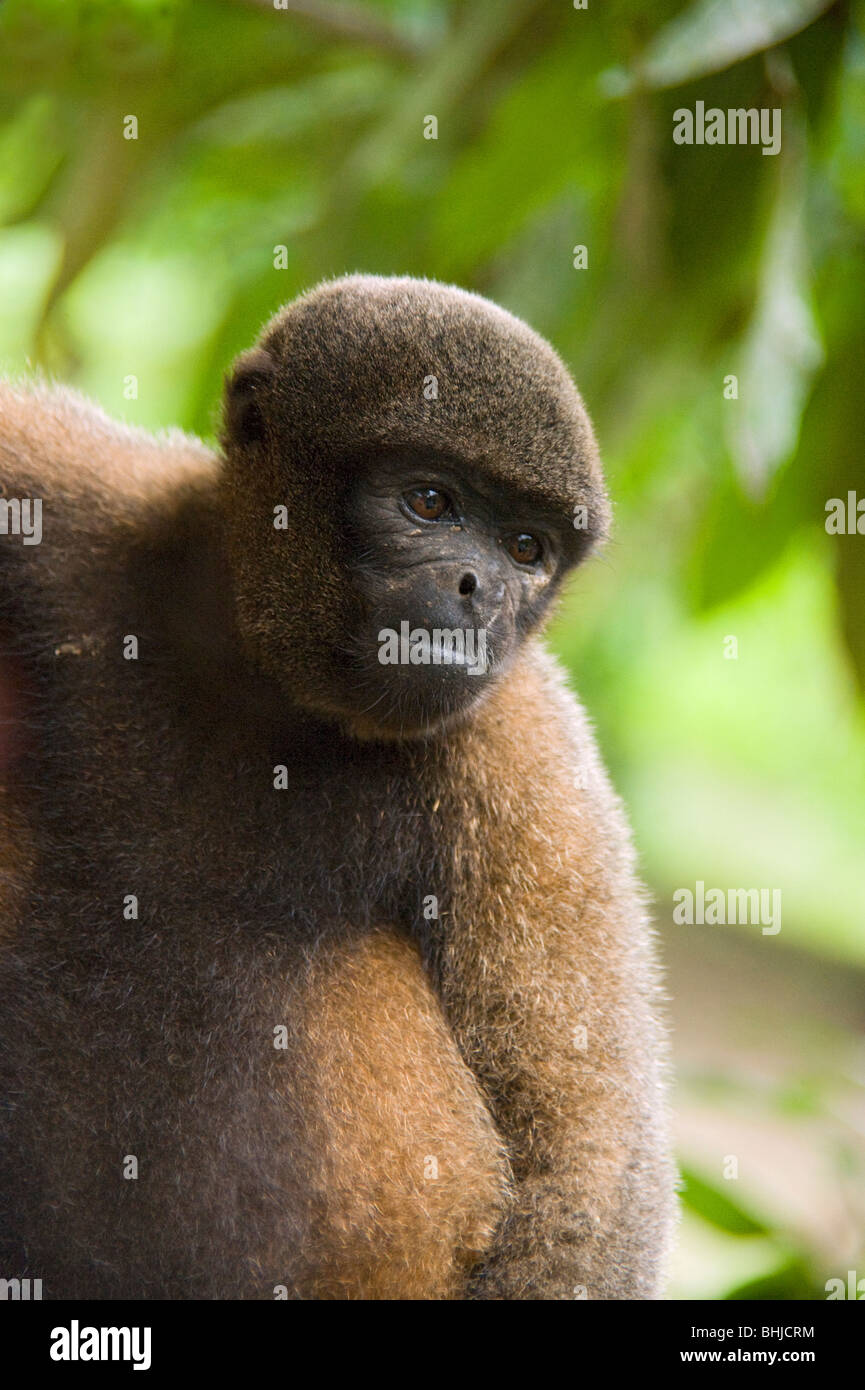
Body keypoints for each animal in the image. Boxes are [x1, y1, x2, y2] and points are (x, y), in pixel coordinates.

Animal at [0, 274, 676, 1300]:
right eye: (429, 501)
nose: (481, 590)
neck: (260, 672)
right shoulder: (80, 494)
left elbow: (586, 1168)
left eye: (527, 549)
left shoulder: (526, 756)